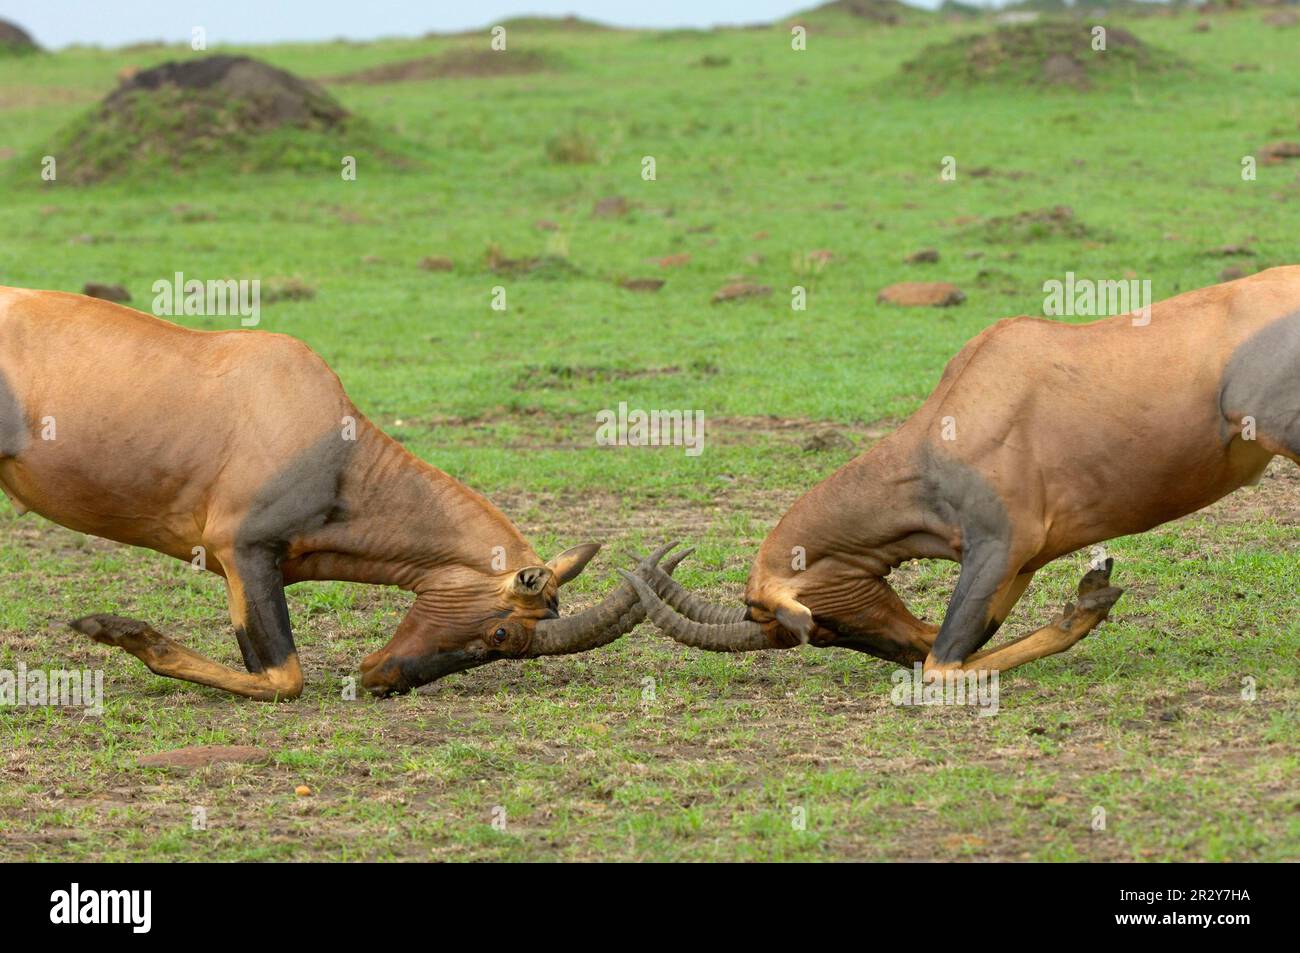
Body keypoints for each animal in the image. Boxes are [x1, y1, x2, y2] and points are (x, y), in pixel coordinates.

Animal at [0, 287, 690, 700]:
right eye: (500, 635)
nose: (379, 678)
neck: (336, 447)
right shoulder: (243, 550)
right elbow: (285, 678)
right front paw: (114, 630)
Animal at [625, 267, 1300, 678]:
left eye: (819, 629)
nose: (906, 646)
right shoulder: (1021, 560)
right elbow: (974, 636)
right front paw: (1089, 592)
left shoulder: (1000, 544)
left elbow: (943, 666)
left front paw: (1086, 607)